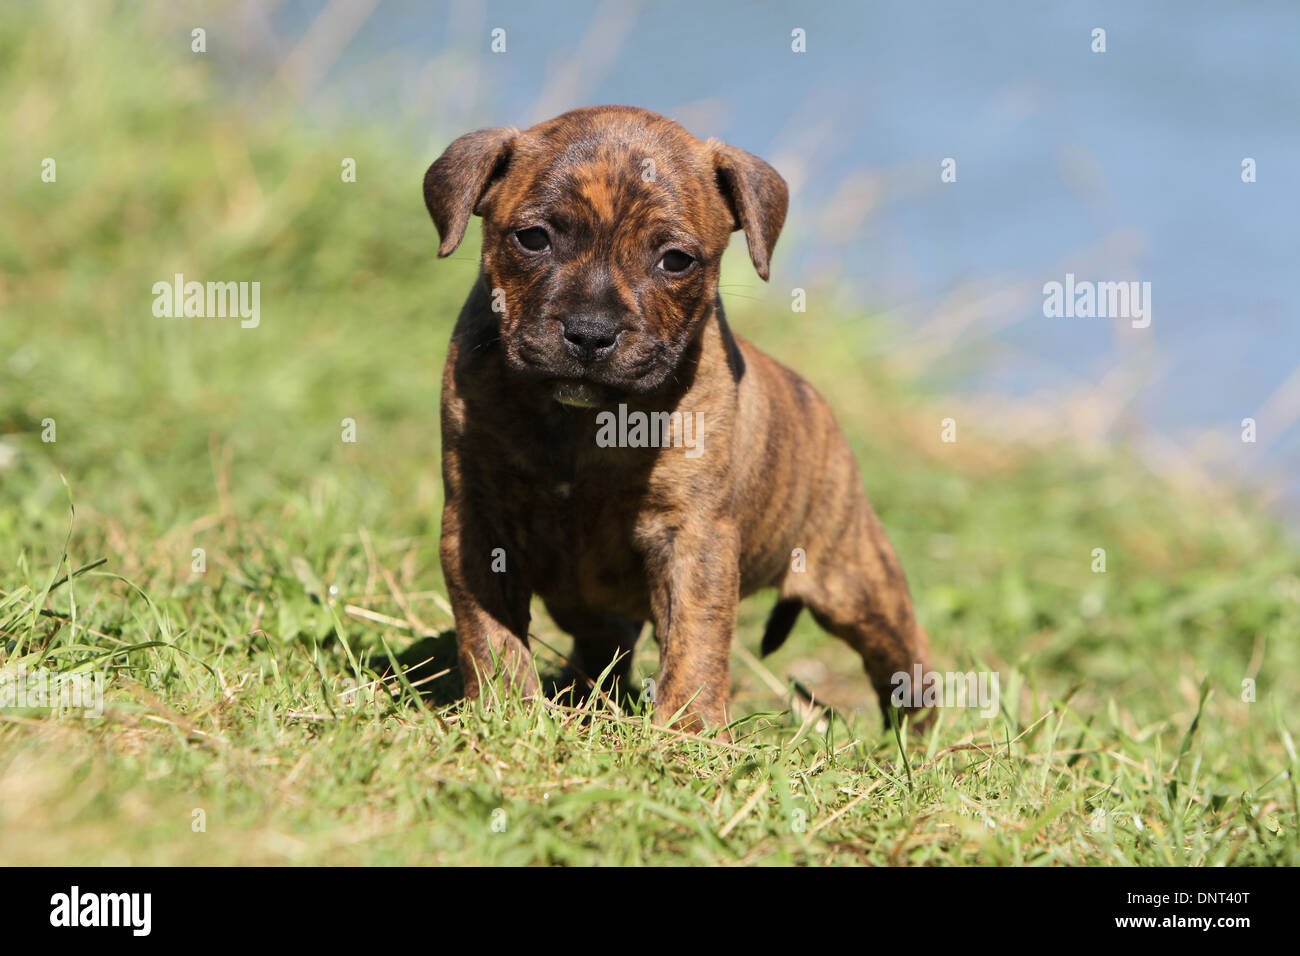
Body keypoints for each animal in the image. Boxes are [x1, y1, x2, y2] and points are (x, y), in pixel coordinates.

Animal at [426, 102, 935, 733]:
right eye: (532, 239)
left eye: (675, 261)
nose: (590, 332)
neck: (584, 423)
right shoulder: (477, 523)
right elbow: (488, 629)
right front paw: (505, 711)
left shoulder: (694, 535)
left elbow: (696, 638)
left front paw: (687, 731)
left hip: (856, 582)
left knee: (904, 656)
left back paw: (917, 742)